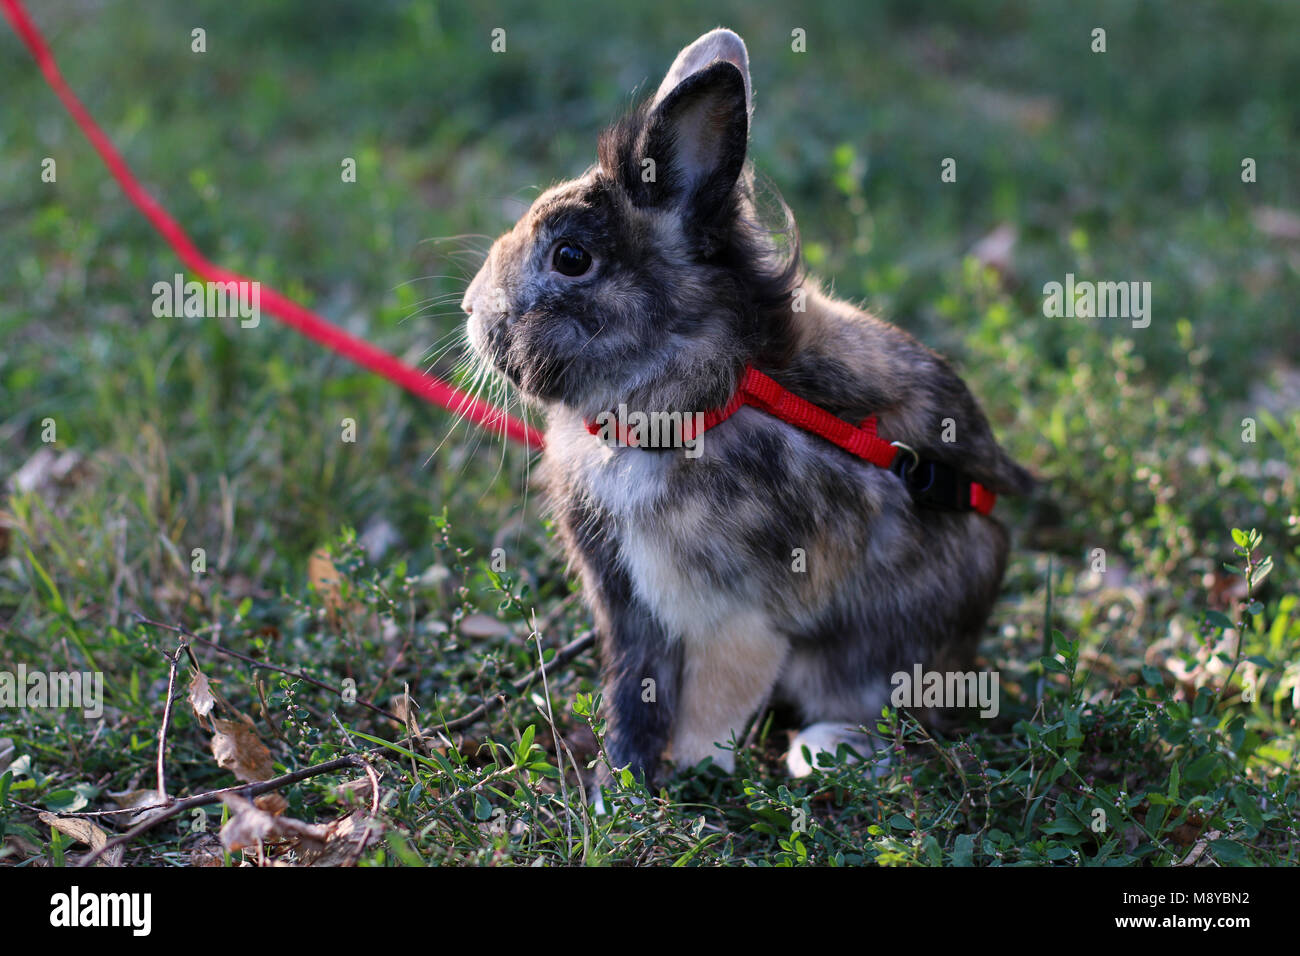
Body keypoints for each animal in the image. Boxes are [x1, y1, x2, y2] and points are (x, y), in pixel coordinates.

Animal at [461, 28, 1033, 792]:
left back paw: (822, 748)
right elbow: (632, 694)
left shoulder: (733, 616)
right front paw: (618, 784)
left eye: (572, 256)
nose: (472, 310)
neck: (692, 394)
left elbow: (711, 706)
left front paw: (683, 773)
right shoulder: (628, 609)